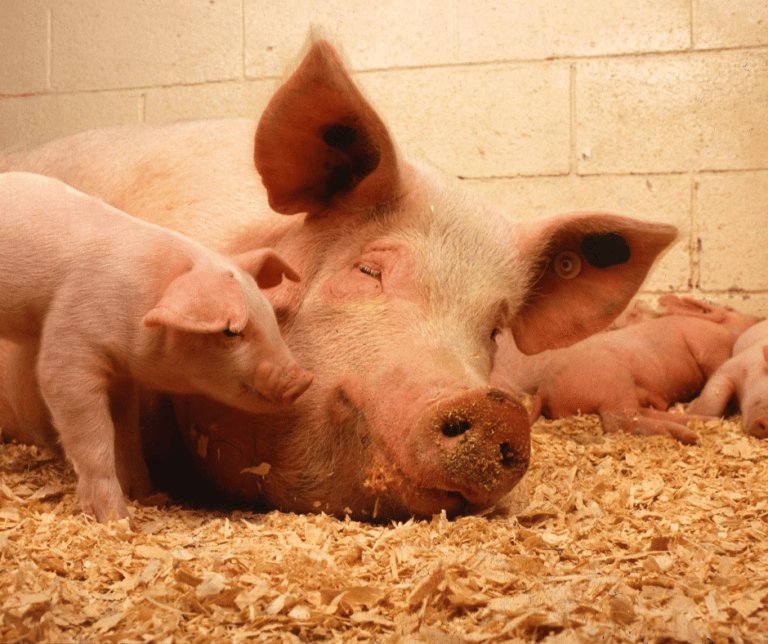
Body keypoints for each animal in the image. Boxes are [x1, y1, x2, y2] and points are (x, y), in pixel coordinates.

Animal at [0, 172, 312, 522]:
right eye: (231, 331)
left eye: (270, 313)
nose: (303, 379)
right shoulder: (69, 342)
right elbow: (93, 436)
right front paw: (118, 519)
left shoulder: (121, 376)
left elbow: (126, 436)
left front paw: (151, 499)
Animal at [527, 296, 763, 444]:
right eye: (732, 310)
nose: (759, 318)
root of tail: (543, 391)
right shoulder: (709, 345)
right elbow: (715, 367)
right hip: (614, 378)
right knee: (620, 421)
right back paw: (688, 434)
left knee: (640, 413)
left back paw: (698, 425)